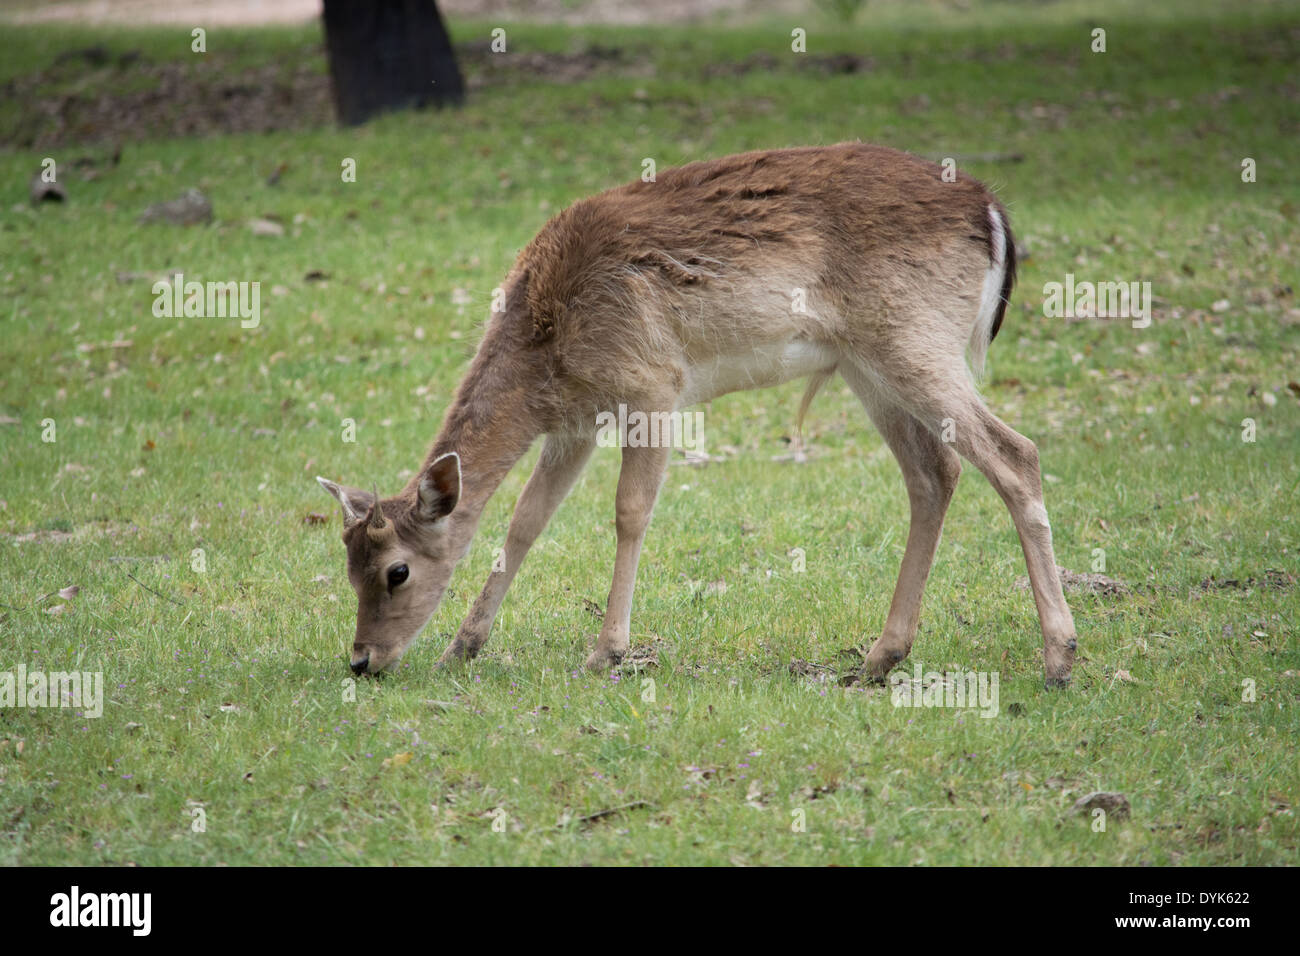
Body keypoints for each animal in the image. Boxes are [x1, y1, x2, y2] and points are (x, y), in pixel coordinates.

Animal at [316, 142, 1079, 688]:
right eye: (347, 566)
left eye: (396, 572)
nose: (362, 660)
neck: (546, 346)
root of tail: (994, 212)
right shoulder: (574, 422)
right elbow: (526, 521)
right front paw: (462, 647)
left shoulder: (653, 384)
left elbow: (629, 512)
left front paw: (606, 653)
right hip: (869, 363)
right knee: (935, 473)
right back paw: (879, 657)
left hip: (915, 338)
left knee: (1015, 453)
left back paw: (1060, 656)